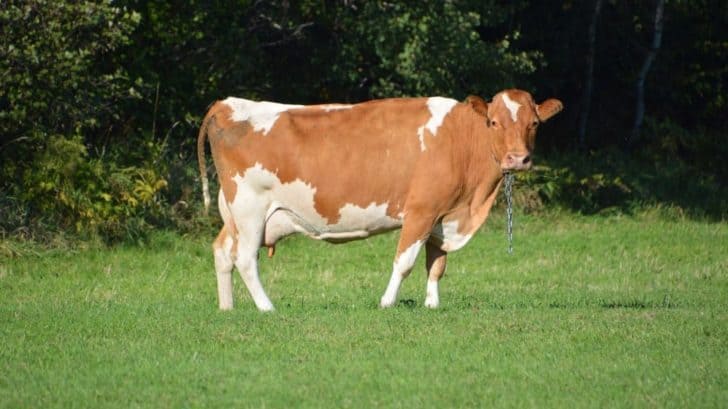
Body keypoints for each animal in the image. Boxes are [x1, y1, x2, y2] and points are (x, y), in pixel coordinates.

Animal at [197, 89, 562, 311]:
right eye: (493, 122)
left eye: (534, 123)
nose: (518, 158)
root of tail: (226, 103)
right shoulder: (421, 211)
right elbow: (404, 262)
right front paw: (387, 302)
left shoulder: (443, 216)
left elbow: (436, 265)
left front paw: (432, 305)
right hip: (250, 210)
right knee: (245, 258)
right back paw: (267, 308)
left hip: (233, 213)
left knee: (222, 251)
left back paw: (227, 307)